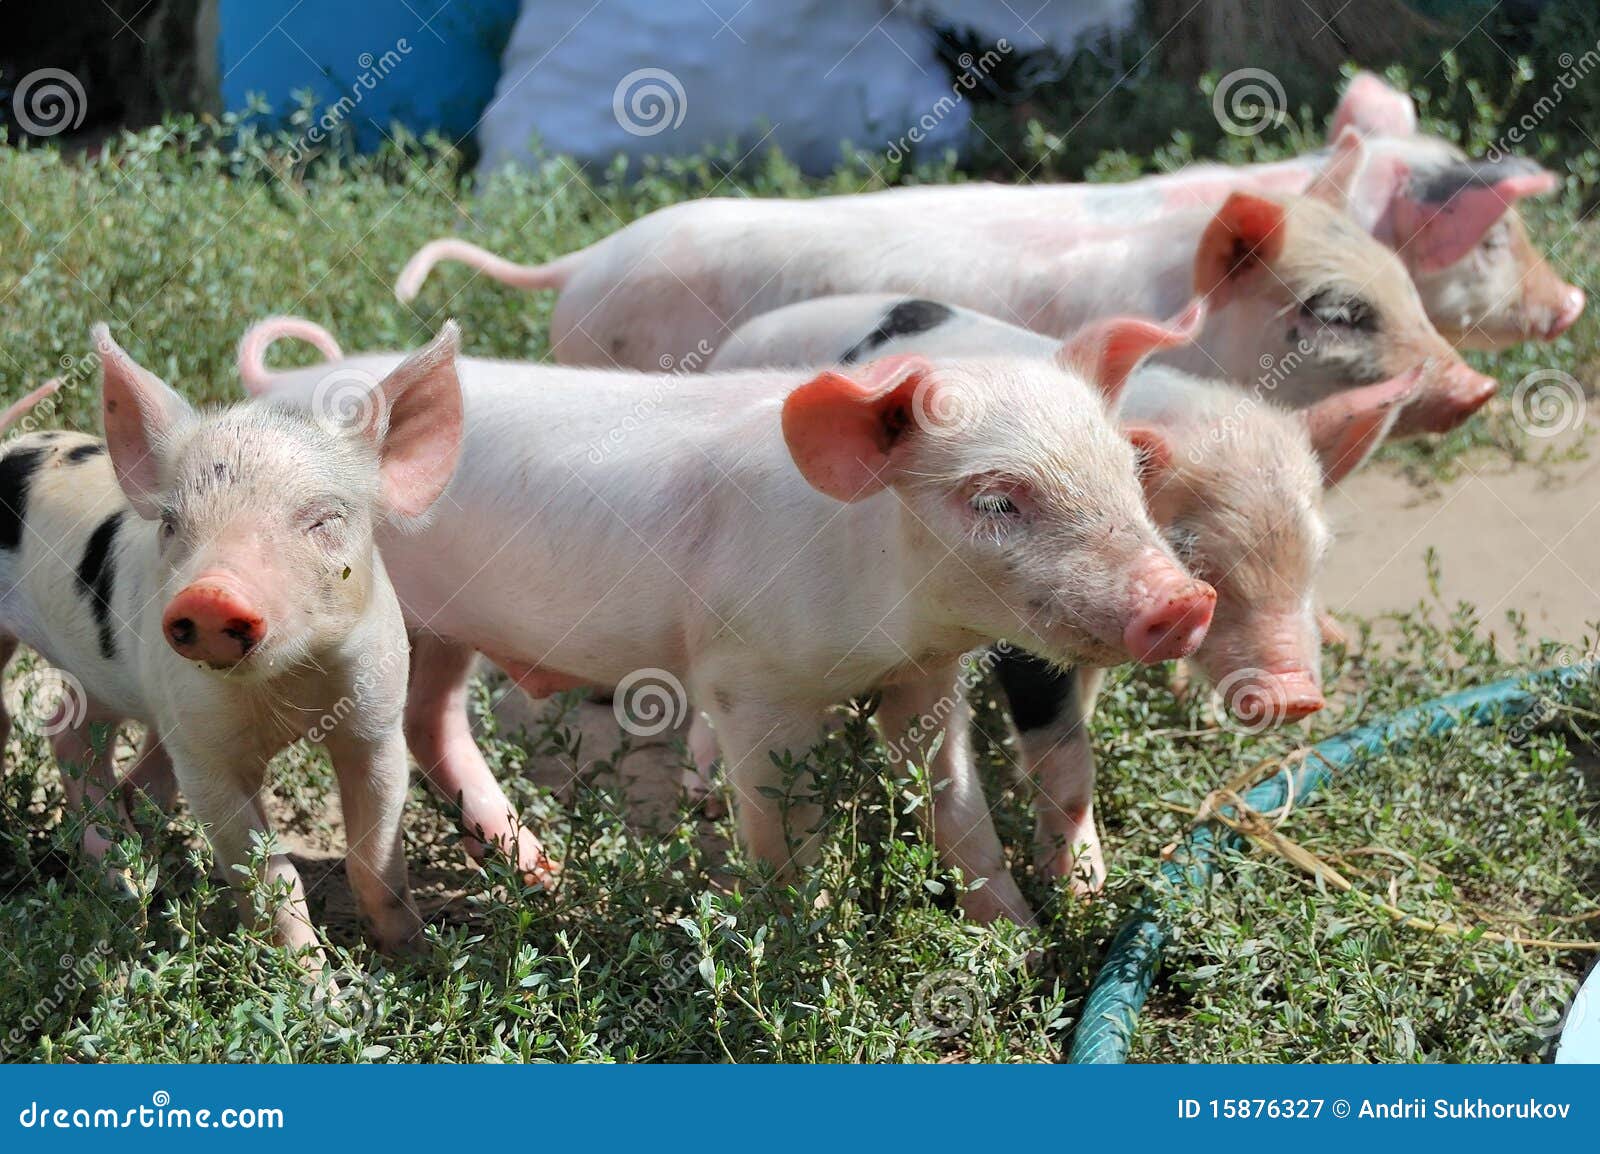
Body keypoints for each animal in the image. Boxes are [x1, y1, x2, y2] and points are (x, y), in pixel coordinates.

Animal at [0, 323, 469, 960]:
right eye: (171, 523)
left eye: (324, 519)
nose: (211, 594)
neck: (293, 685)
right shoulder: (202, 748)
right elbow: (269, 872)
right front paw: (315, 981)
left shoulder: (376, 718)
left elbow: (372, 859)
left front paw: (417, 956)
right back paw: (126, 884)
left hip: (102, 674)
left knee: (68, 733)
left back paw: (122, 872)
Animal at [237, 315, 1218, 924]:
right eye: (997, 500)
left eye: (1127, 469)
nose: (1185, 602)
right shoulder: (748, 681)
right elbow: (782, 828)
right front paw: (798, 933)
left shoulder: (924, 675)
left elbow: (957, 804)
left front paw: (1017, 938)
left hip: (444, 627)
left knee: (430, 717)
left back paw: (540, 873)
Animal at [710, 292, 1414, 891]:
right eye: (1197, 557)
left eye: (1319, 558)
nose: (1297, 696)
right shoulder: (1023, 619)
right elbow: (1065, 749)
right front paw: (1080, 891)